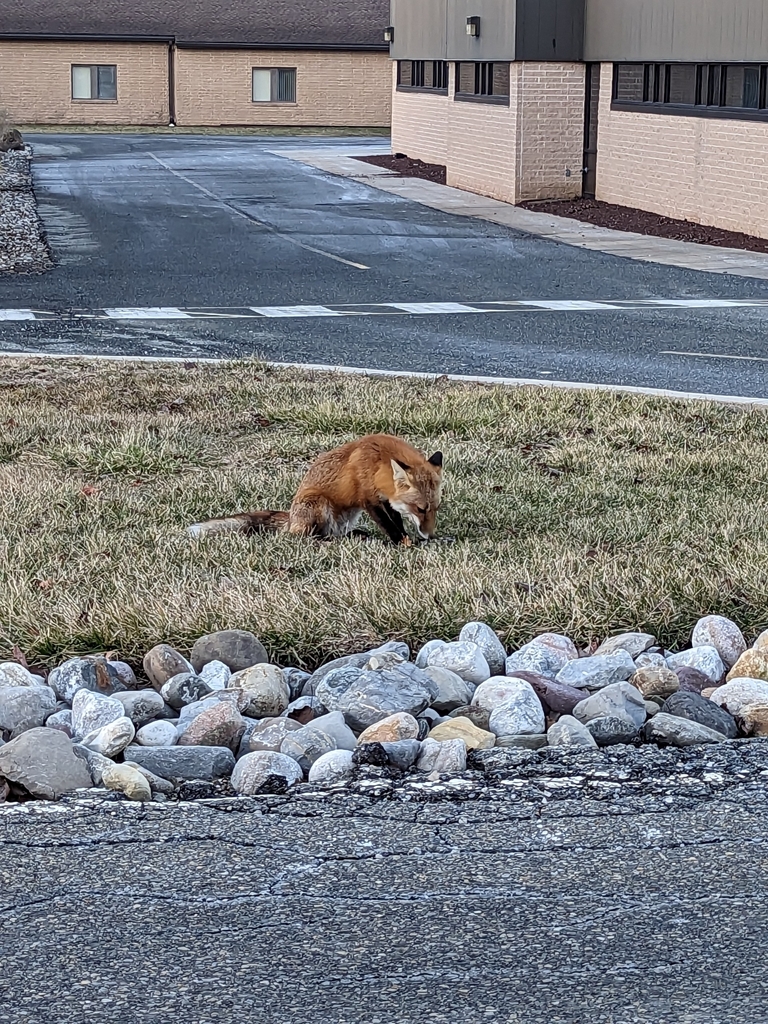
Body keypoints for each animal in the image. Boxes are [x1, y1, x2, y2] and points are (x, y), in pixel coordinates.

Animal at [188, 433, 443, 545]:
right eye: (420, 509)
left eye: (435, 508)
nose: (431, 536)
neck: (378, 461)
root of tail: (291, 519)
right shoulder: (369, 499)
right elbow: (389, 526)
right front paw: (402, 543)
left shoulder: (386, 500)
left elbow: (396, 521)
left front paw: (406, 539)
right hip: (318, 505)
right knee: (307, 536)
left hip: (346, 517)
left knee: (334, 532)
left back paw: (355, 536)